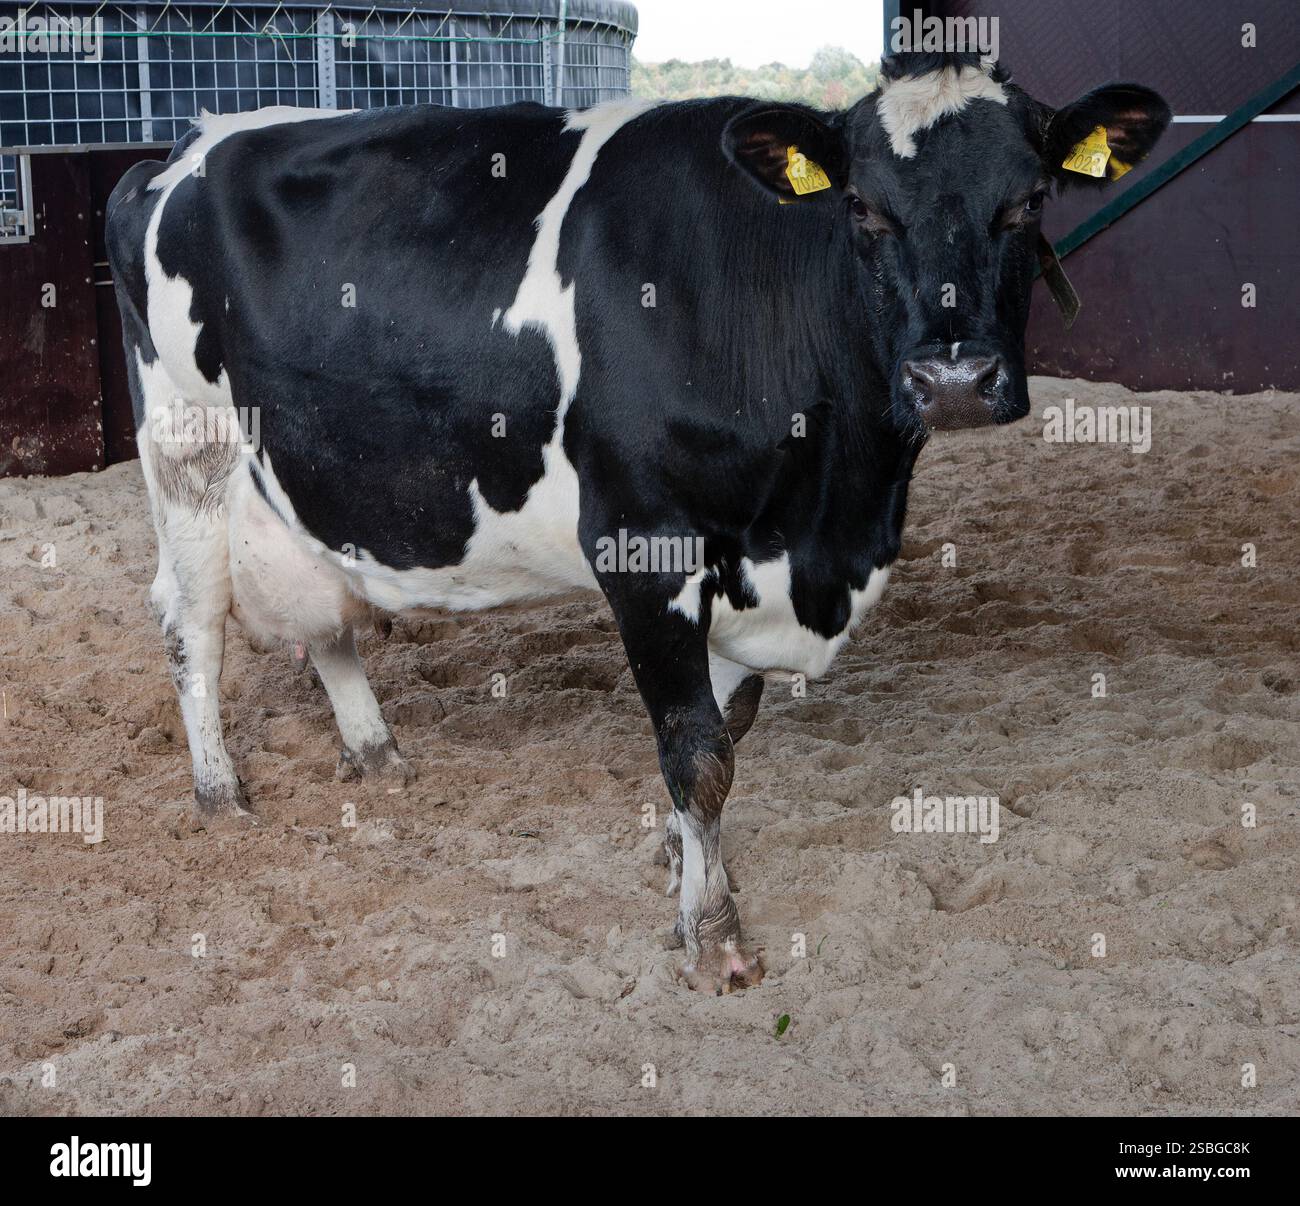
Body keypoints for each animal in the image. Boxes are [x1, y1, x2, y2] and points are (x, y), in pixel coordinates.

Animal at [105, 51, 1169, 992]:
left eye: (1029, 201)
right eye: (863, 208)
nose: (951, 380)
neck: (832, 518)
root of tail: (182, 144)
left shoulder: (752, 559)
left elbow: (726, 731)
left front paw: (683, 865)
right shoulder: (646, 545)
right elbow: (697, 754)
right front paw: (717, 938)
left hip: (304, 483)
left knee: (327, 618)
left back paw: (377, 754)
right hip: (188, 450)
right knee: (188, 623)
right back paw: (220, 795)